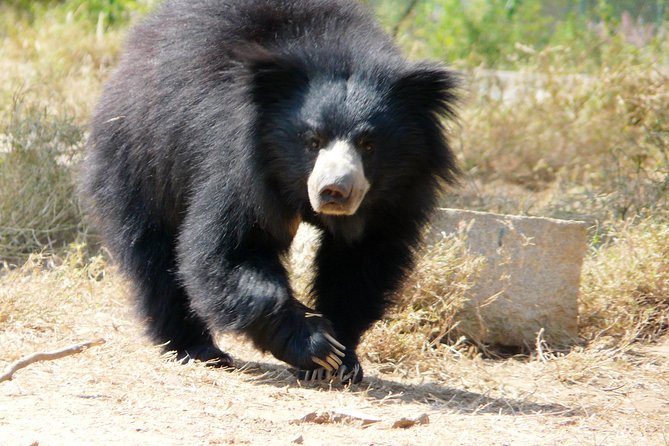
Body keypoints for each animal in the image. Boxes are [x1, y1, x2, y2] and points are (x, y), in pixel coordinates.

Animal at [83, 0, 459, 384]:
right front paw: (317, 346)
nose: (334, 191)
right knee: (153, 254)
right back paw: (198, 349)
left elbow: (362, 262)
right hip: (142, 159)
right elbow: (230, 251)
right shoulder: (239, 169)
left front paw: (343, 358)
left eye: (368, 144)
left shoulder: (395, 198)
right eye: (313, 141)